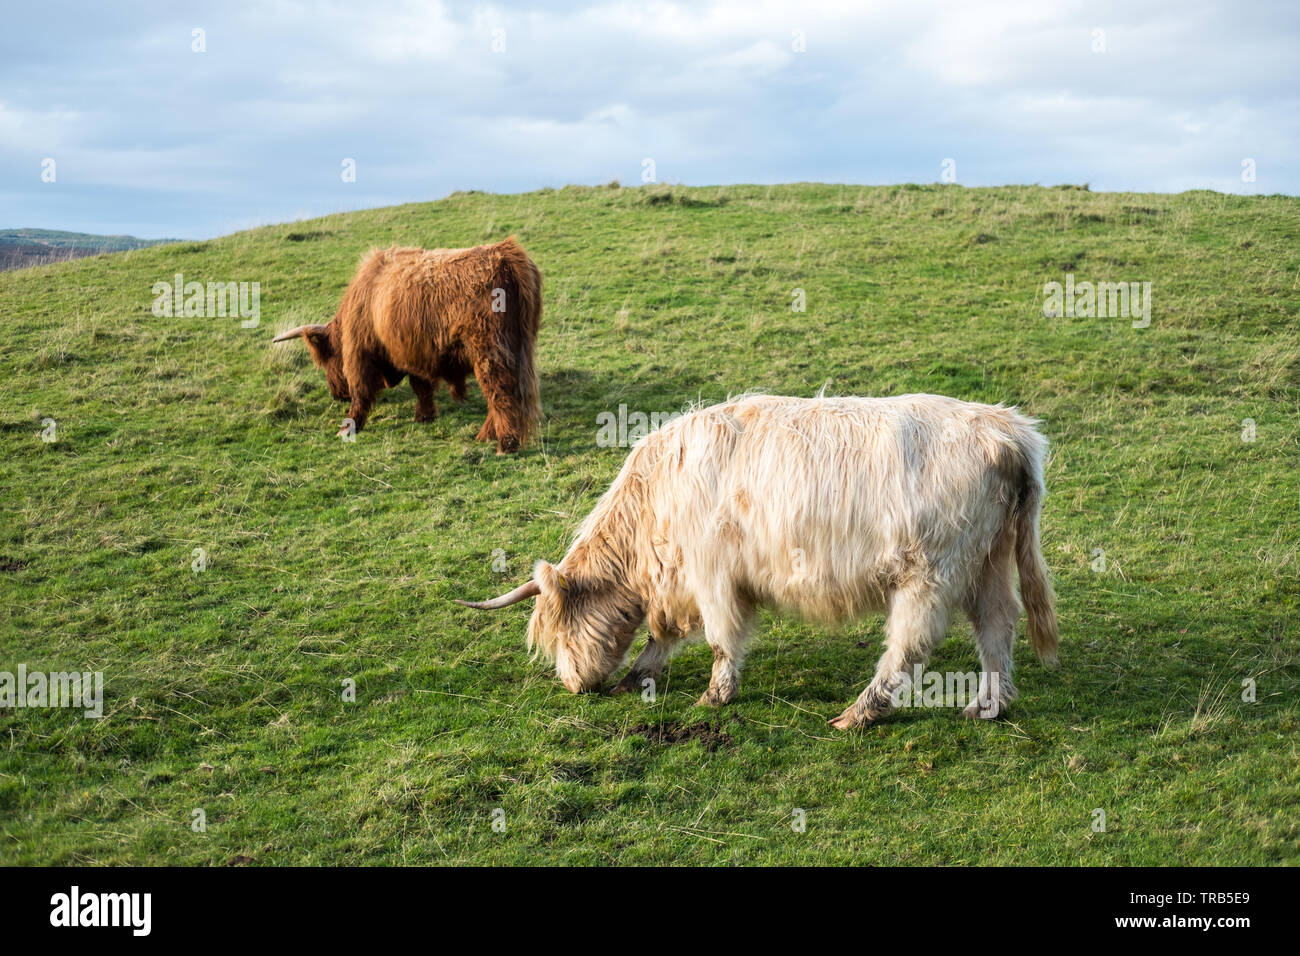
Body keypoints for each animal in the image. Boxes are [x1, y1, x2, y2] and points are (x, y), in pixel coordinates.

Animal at [273, 237, 542, 453]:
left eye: (329, 359)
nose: (337, 394)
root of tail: (503, 252)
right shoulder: (414, 353)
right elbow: (421, 386)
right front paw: (425, 416)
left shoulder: (360, 354)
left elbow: (361, 392)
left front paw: (348, 427)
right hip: (520, 347)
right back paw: (486, 435)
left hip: (489, 351)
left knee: (500, 392)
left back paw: (505, 444)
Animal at [457, 393, 1058, 728]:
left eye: (558, 633)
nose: (572, 686)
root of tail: (1008, 431)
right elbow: (663, 633)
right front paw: (640, 675)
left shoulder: (712, 575)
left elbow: (720, 638)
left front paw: (714, 695)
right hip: (987, 562)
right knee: (997, 627)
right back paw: (988, 706)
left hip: (929, 574)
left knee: (909, 648)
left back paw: (859, 714)